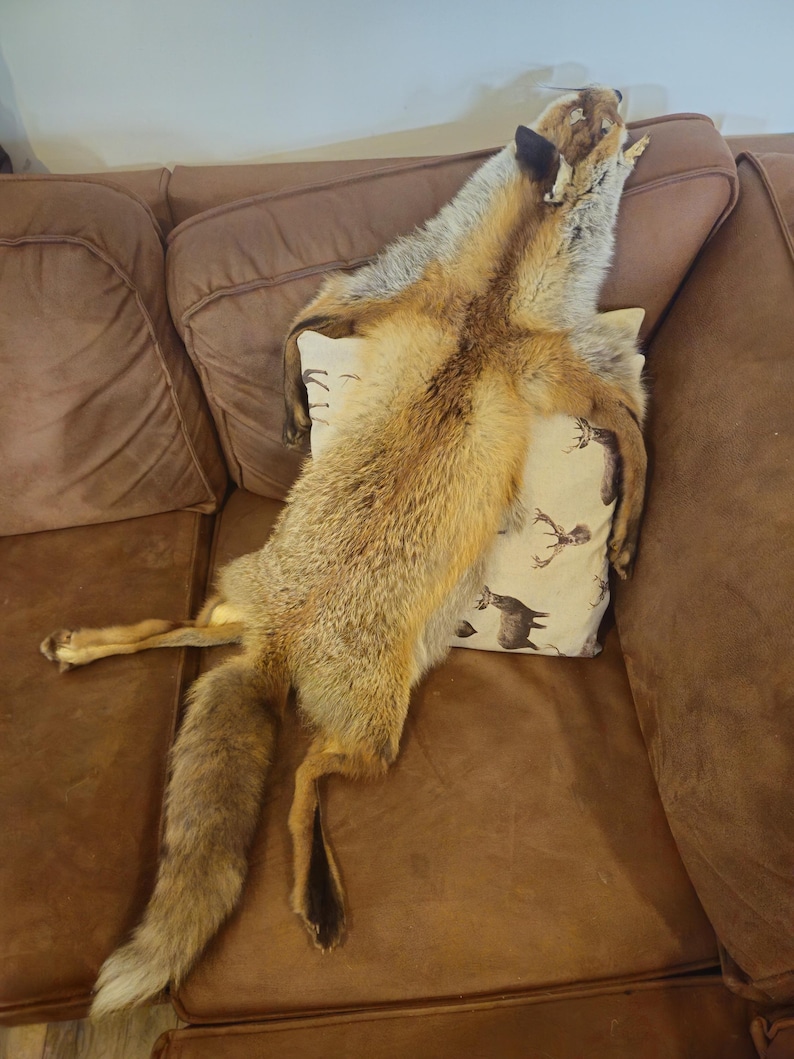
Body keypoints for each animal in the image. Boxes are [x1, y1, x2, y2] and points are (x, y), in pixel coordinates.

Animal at [40, 86, 649, 1018]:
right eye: (593, 116)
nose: (622, 90)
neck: (495, 294)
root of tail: (284, 643)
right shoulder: (559, 373)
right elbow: (637, 432)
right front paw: (627, 531)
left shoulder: (397, 306)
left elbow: (307, 323)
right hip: (378, 735)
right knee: (305, 780)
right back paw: (316, 892)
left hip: (240, 606)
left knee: (187, 633)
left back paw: (84, 645)